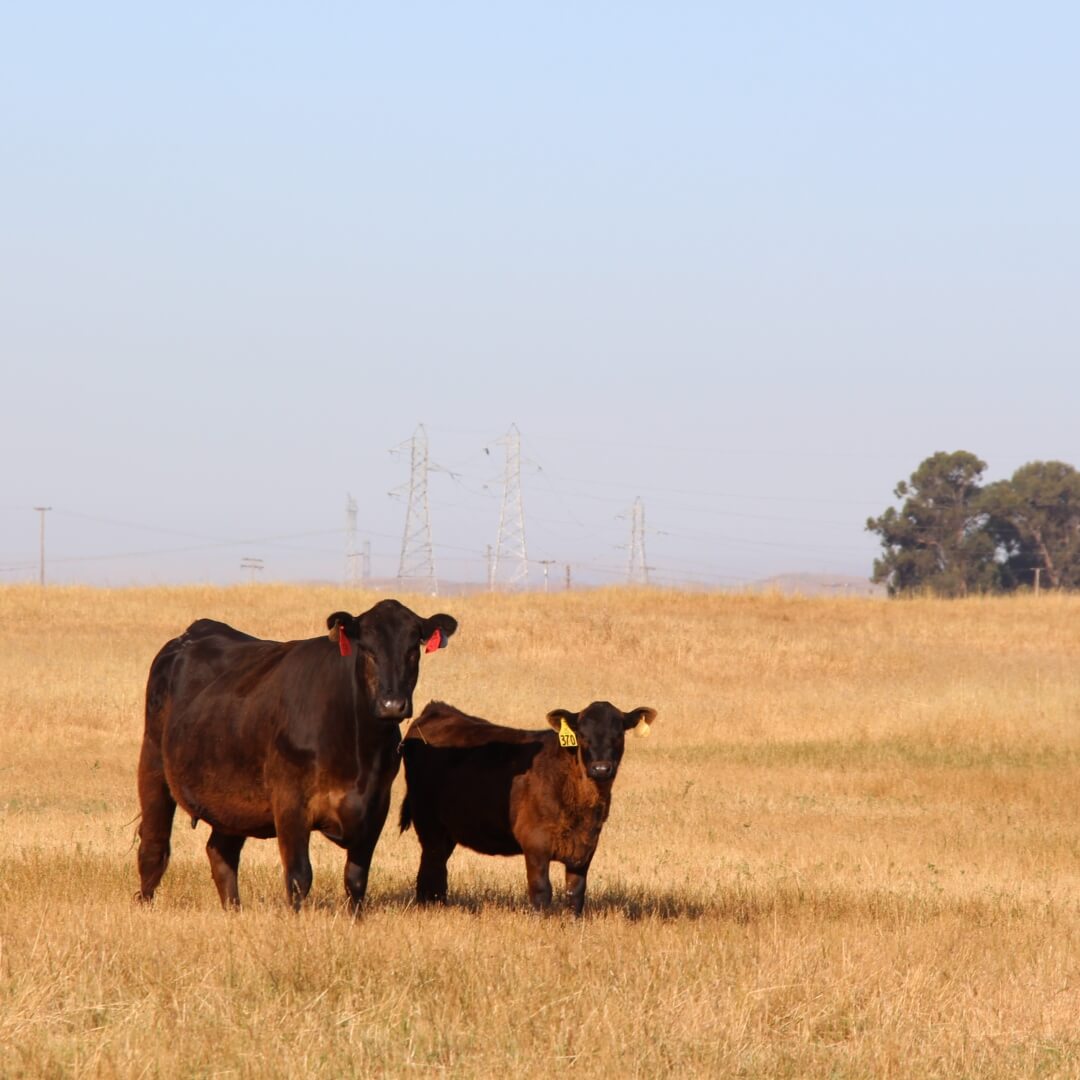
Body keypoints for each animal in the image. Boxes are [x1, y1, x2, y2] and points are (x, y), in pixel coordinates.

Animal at [135, 599, 457, 911]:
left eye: (412, 648)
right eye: (366, 648)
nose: (392, 705)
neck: (358, 749)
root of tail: (191, 633)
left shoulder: (377, 804)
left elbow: (356, 878)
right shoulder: (290, 801)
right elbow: (299, 876)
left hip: (231, 795)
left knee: (221, 852)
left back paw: (234, 911)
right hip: (152, 762)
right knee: (153, 847)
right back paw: (145, 906)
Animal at [398, 699, 657, 915]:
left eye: (619, 735)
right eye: (582, 735)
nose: (601, 768)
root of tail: (436, 710)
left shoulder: (586, 845)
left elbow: (575, 892)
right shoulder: (534, 842)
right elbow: (541, 890)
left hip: (447, 829)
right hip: (428, 823)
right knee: (432, 867)